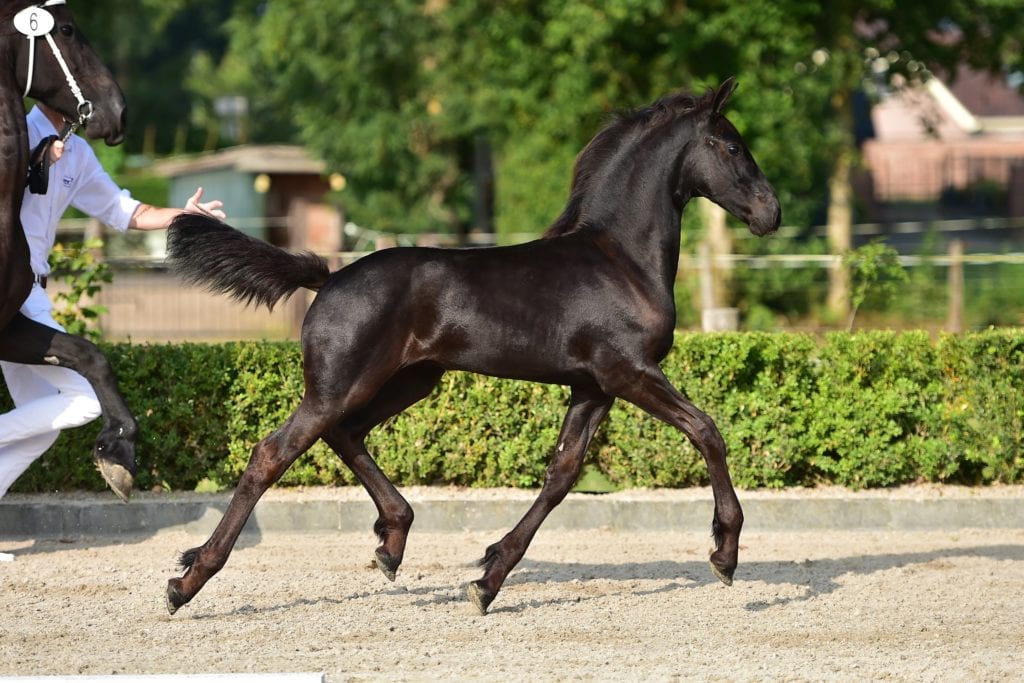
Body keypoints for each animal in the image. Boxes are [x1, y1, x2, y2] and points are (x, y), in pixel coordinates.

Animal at [164, 78, 781, 615]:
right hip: (341, 385)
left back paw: (391, 543)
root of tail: (330, 277)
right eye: (731, 145)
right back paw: (187, 582)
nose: (770, 213)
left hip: (409, 380)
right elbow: (707, 431)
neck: (619, 261)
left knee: (346, 434)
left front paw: (488, 578)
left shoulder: (593, 386)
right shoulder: (629, 371)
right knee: (273, 453)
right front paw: (725, 554)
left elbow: (562, 474)